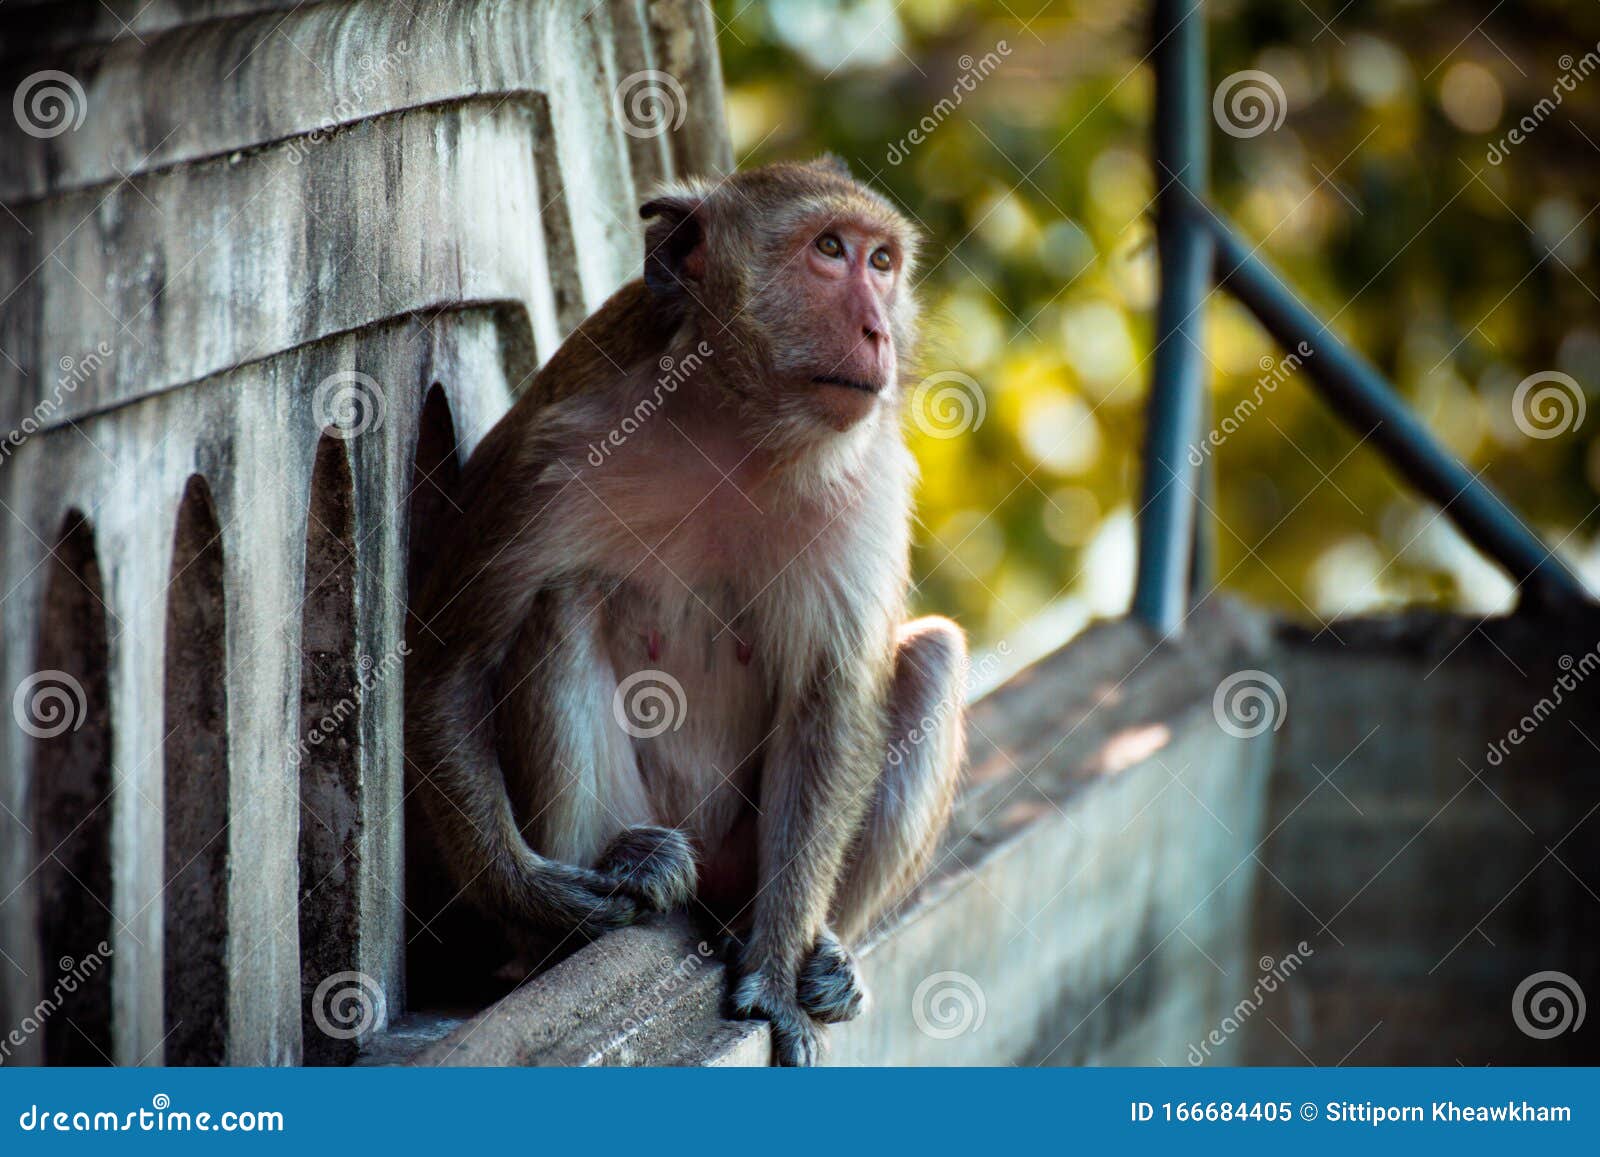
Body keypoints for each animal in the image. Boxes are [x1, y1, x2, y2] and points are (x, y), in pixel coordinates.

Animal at [404, 156, 967, 1066]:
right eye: (830, 250)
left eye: (882, 263)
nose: (879, 331)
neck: (735, 427)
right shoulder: (554, 451)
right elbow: (447, 663)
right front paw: (540, 893)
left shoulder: (870, 477)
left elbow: (832, 697)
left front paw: (775, 973)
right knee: (560, 605)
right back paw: (594, 913)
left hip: (744, 859)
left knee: (932, 656)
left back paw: (821, 951)